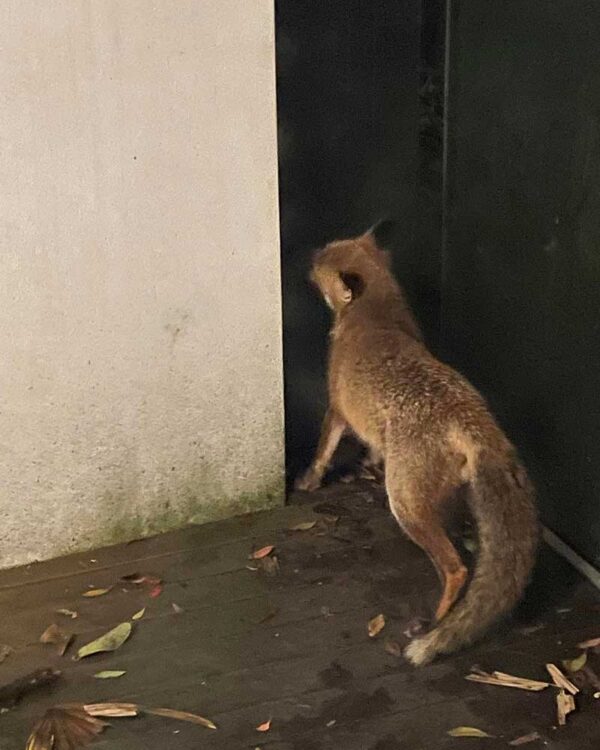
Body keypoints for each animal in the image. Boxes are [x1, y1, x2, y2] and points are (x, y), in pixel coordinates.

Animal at [295, 223, 539, 666]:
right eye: (324, 251)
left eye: (321, 263)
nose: (306, 255)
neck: (375, 314)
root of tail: (474, 418)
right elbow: (372, 448)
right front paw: (366, 463)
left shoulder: (336, 407)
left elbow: (323, 451)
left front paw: (308, 481)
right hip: (443, 500)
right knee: (465, 555)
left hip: (405, 503)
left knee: (456, 567)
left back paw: (434, 624)